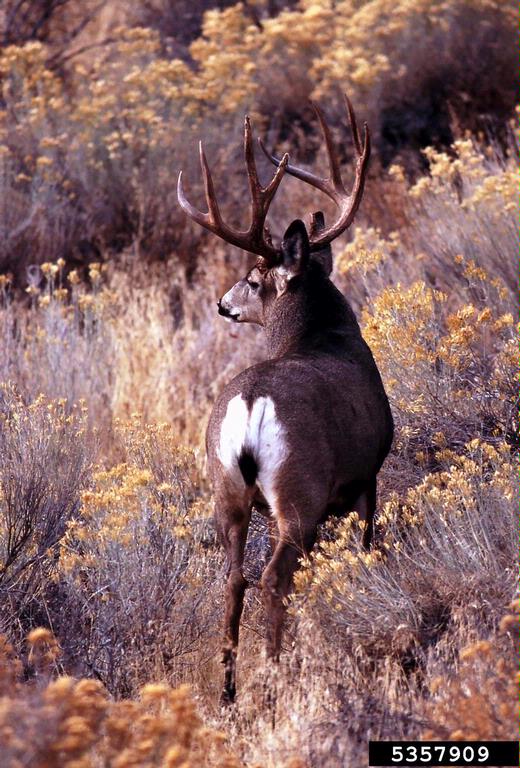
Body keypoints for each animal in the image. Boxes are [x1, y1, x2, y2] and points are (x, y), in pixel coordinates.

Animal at [177, 95, 394, 705]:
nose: (222, 304)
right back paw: (275, 680)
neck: (320, 336)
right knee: (274, 579)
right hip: (299, 489)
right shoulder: (365, 476)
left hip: (225, 488)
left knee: (234, 578)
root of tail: (252, 404)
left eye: (252, 280)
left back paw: (230, 691)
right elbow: (363, 548)